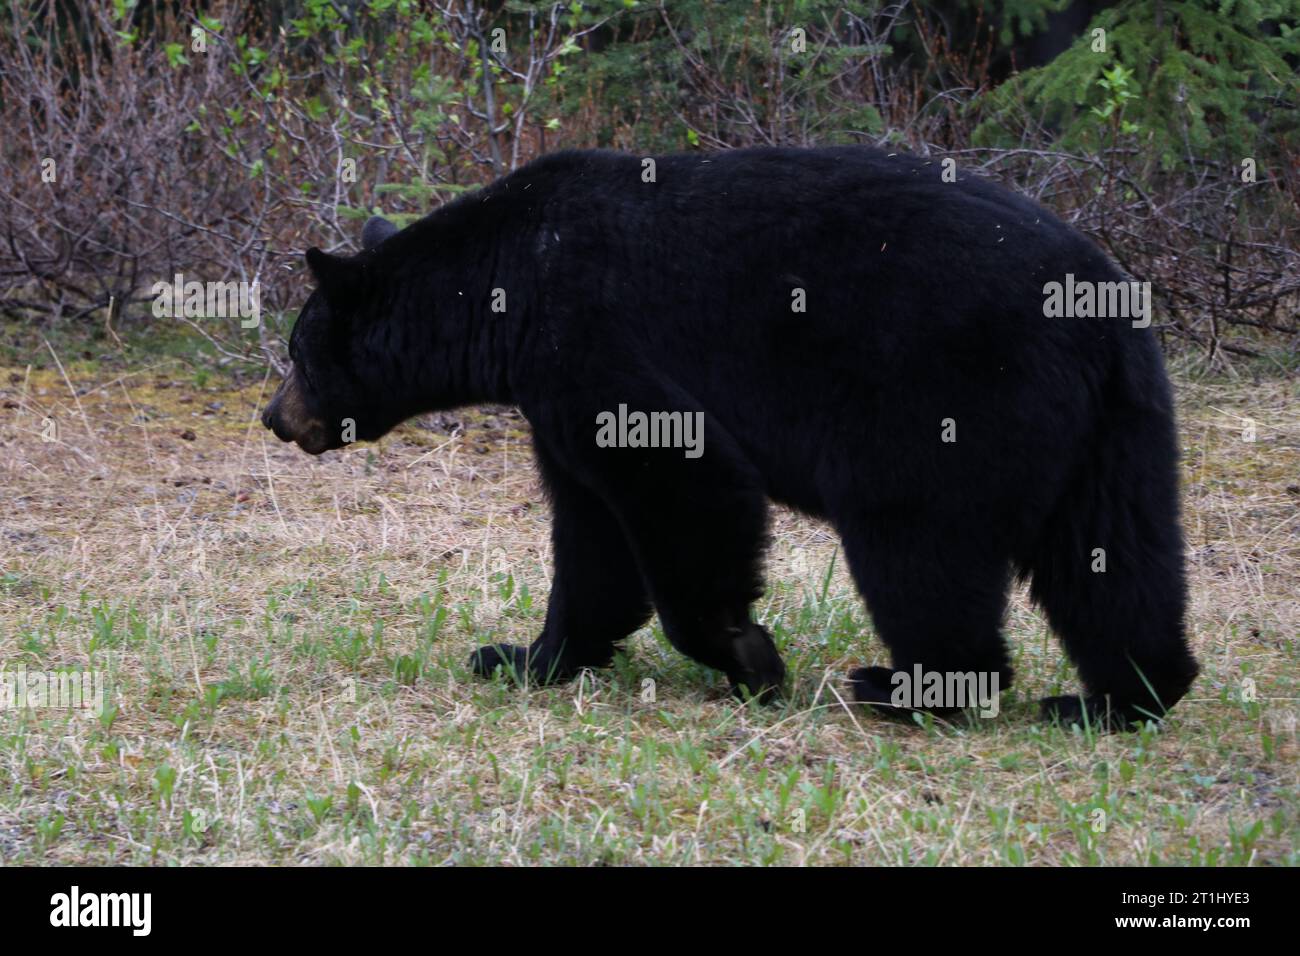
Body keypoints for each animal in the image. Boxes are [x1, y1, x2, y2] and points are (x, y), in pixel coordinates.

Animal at [261, 145, 1200, 729]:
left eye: (297, 350)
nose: (275, 416)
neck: (503, 289)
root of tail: (1098, 310)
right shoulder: (551, 391)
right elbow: (590, 532)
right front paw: (525, 654)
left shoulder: (594, 340)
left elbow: (685, 484)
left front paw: (748, 657)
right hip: (1117, 427)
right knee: (1114, 553)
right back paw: (1119, 698)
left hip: (950, 398)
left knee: (917, 541)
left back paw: (908, 687)